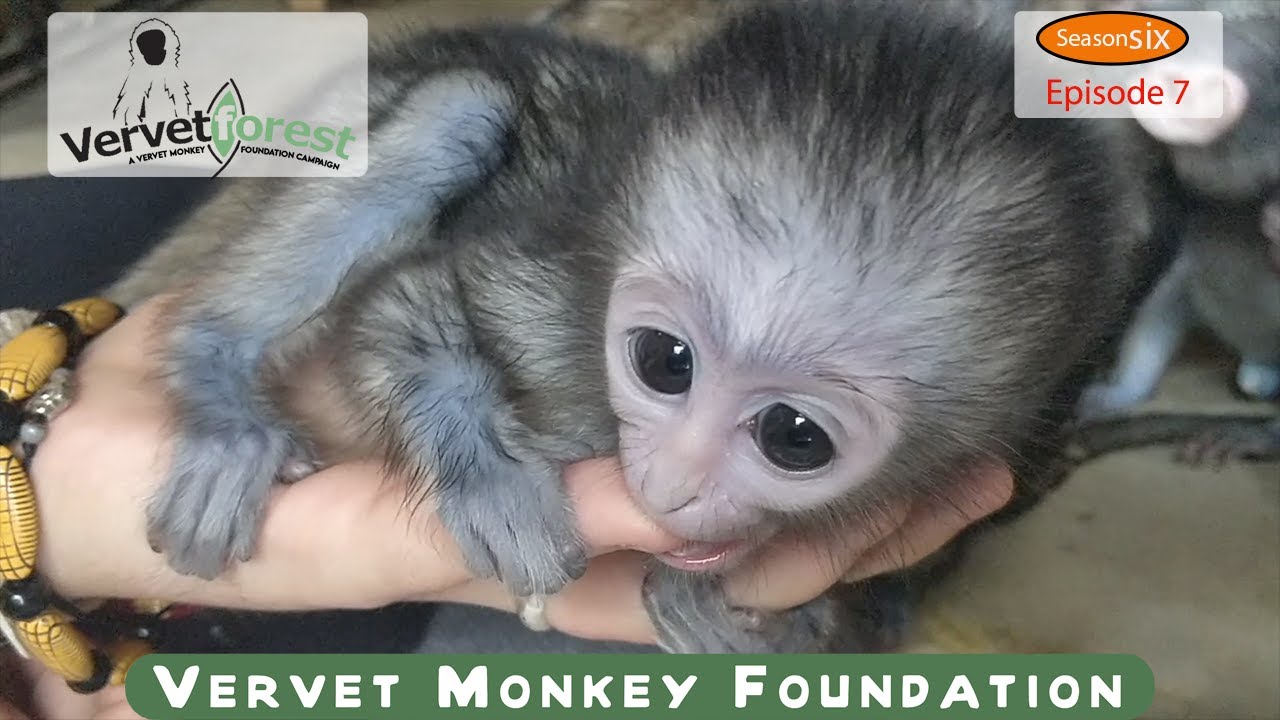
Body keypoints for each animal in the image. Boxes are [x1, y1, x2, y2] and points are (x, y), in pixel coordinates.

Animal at [107, 1, 1169, 654]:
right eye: (665, 362)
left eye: (794, 436)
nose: (675, 480)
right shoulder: (557, 320)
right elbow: (406, 313)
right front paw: (494, 484)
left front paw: (694, 591)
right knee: (462, 105)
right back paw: (221, 389)